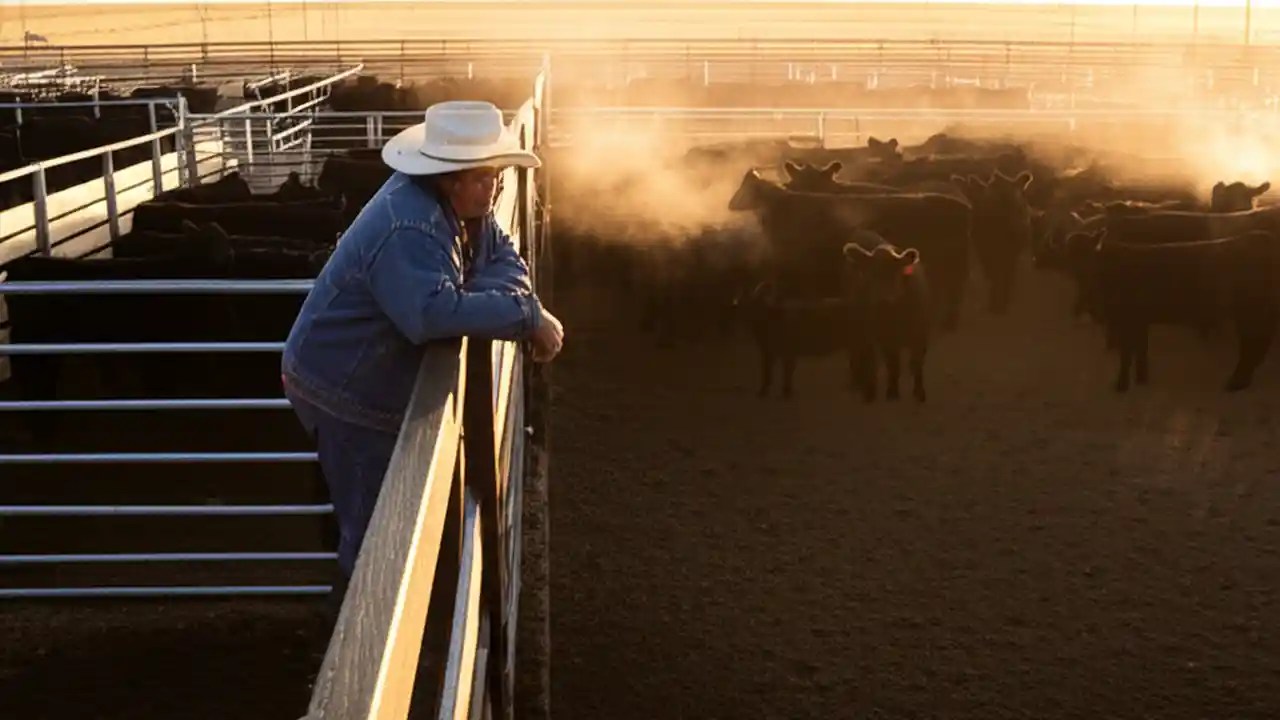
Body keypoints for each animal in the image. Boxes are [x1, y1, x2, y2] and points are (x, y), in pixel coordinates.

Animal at [842, 242, 930, 402]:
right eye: (870, 273)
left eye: (894, 272)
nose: (882, 301)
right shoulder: (885, 338)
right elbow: (892, 364)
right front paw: (892, 391)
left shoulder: (919, 334)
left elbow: (917, 363)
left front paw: (920, 393)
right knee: (864, 357)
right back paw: (865, 388)